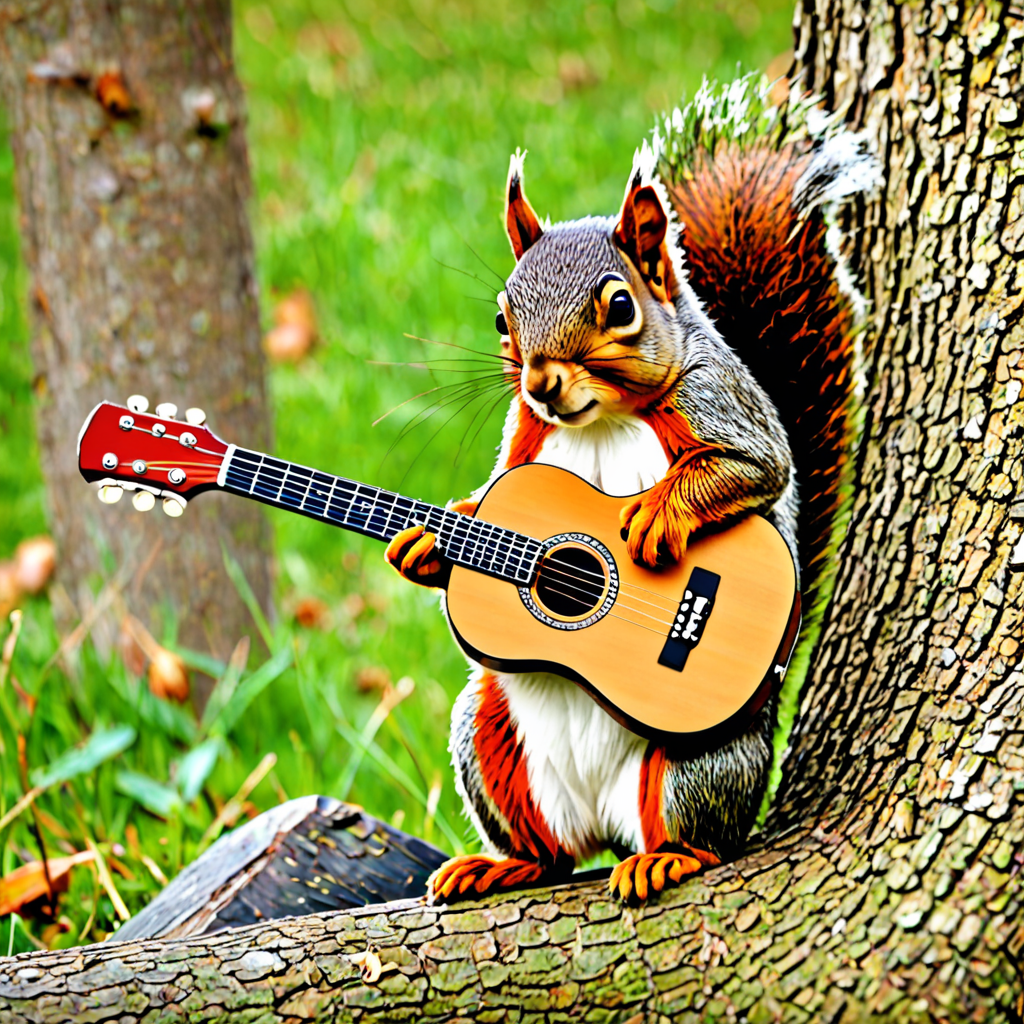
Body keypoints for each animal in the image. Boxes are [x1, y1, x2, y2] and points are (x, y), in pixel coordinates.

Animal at [385, 77, 877, 904]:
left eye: (619, 307)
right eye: (502, 317)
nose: (542, 384)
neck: (599, 419)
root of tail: (604, 826)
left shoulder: (720, 404)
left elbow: (757, 467)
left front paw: (654, 515)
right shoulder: (523, 439)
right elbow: (478, 510)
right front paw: (428, 540)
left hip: (699, 758)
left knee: (704, 836)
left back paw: (670, 857)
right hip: (487, 733)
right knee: (551, 852)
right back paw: (503, 864)